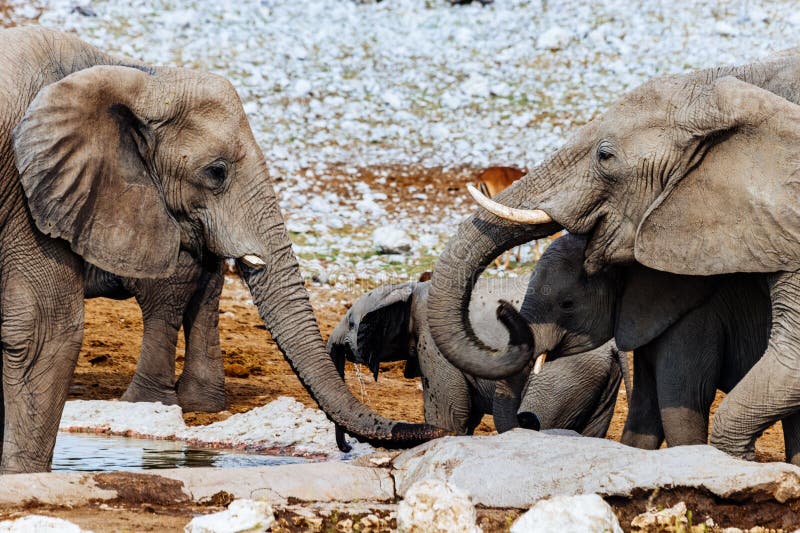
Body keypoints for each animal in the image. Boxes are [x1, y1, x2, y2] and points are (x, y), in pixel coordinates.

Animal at [327, 277, 629, 451]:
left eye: (352, 323)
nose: (348, 449)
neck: (411, 289)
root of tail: (613, 347)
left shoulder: (433, 345)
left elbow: (447, 419)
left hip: (561, 376)